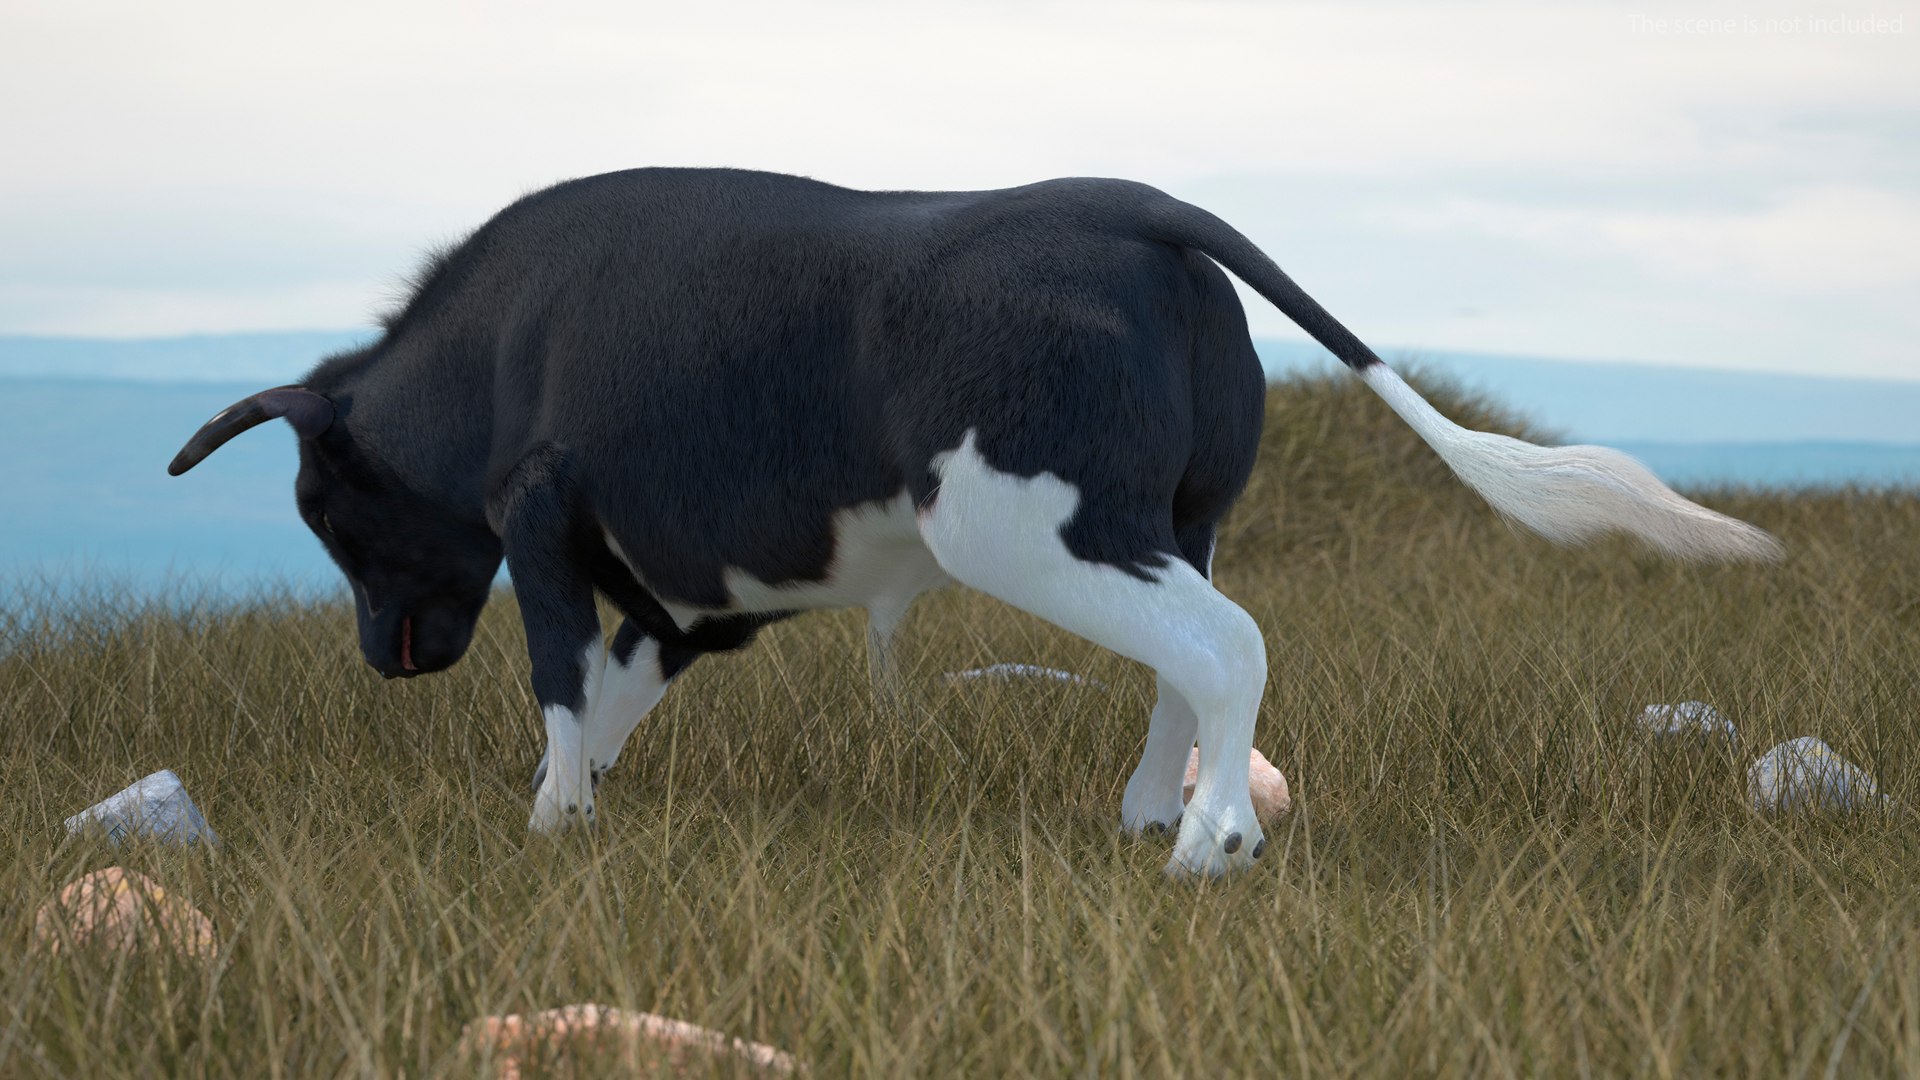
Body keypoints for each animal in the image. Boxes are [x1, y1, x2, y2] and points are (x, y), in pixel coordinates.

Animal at [168, 168, 1781, 876]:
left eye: (324, 505)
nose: (389, 653)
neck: (490, 341)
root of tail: (1132, 205)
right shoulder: (700, 587)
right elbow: (622, 679)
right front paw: (578, 806)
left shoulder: (544, 513)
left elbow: (560, 664)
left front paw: (555, 817)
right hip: (1171, 514)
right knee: (1186, 652)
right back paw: (1149, 813)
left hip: (1035, 522)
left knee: (1225, 641)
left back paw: (1209, 843)